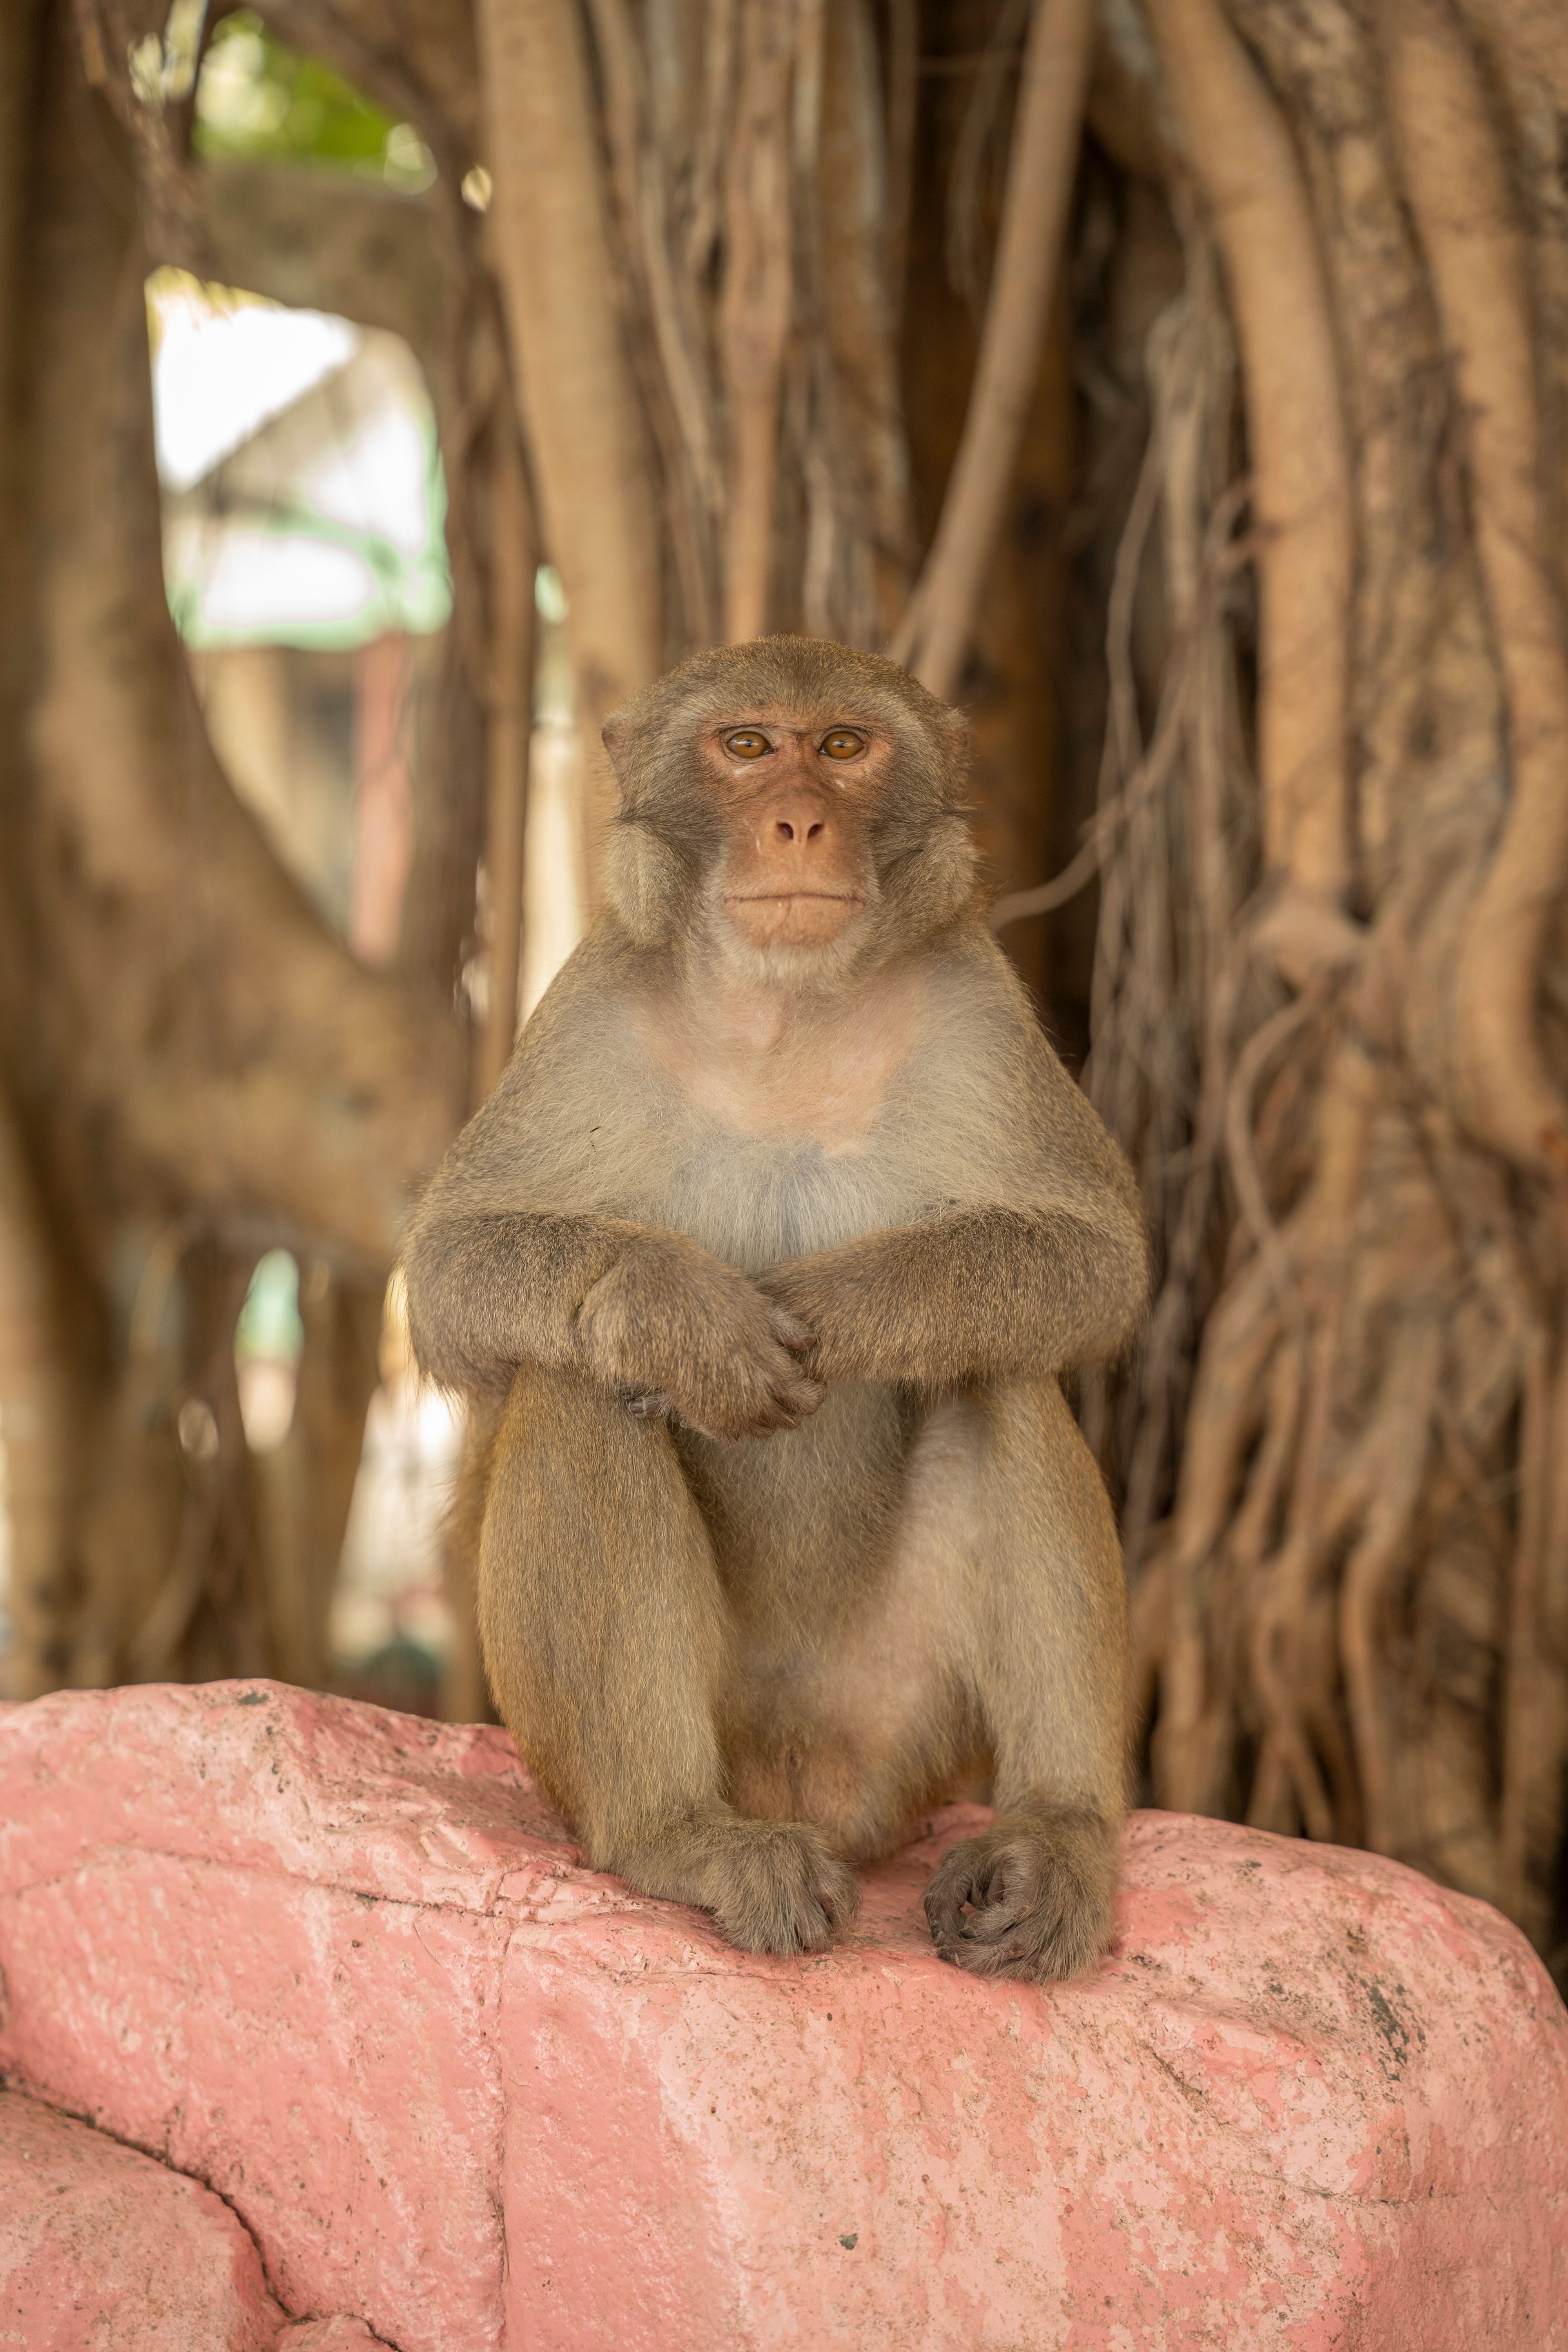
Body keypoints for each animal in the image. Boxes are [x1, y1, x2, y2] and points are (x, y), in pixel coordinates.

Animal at [401, 635, 1148, 1981]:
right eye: (747, 746)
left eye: (844, 746)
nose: (799, 821)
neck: (782, 1015)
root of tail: (812, 1786)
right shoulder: (587, 1003)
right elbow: (449, 1273)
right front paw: (681, 1313)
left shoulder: (977, 997)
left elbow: (1092, 1257)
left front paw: (844, 1302)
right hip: (598, 1756)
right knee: (575, 1381)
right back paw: (680, 1833)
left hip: (911, 1726)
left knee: (1004, 1367)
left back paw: (1057, 1836)